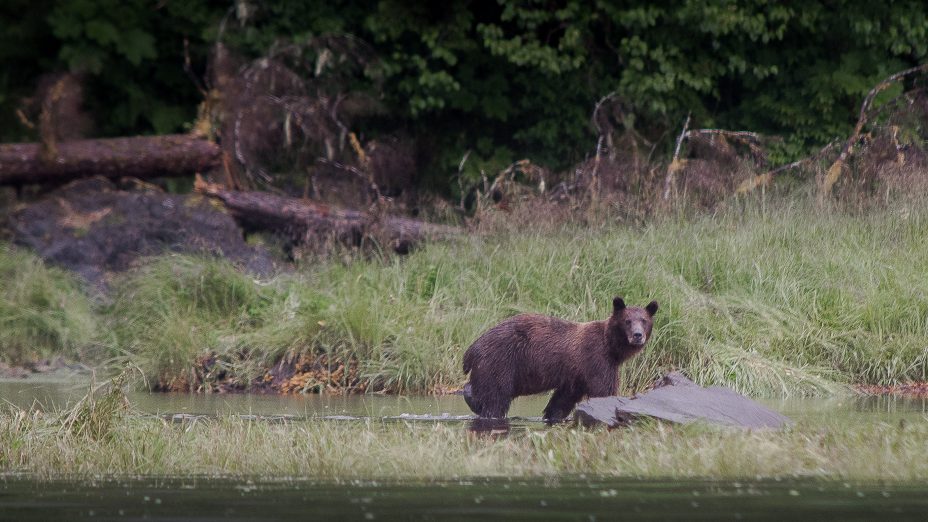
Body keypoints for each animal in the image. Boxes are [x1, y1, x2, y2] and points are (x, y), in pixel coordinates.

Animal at [462, 297, 658, 422]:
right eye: (627, 321)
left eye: (644, 320)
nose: (638, 335)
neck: (612, 348)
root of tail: (472, 348)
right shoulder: (596, 360)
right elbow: (603, 390)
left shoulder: (575, 375)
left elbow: (562, 401)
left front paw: (553, 415)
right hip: (502, 360)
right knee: (495, 397)